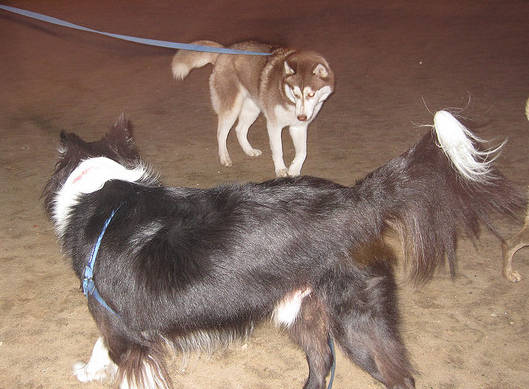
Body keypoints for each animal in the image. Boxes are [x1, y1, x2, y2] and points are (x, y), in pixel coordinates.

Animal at [43, 110, 520, 386]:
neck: (98, 187)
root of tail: (358, 199)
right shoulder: (123, 330)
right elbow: (99, 348)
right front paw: (91, 370)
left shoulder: (126, 335)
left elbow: (113, 354)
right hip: (305, 313)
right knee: (321, 367)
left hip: (357, 323)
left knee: (394, 377)